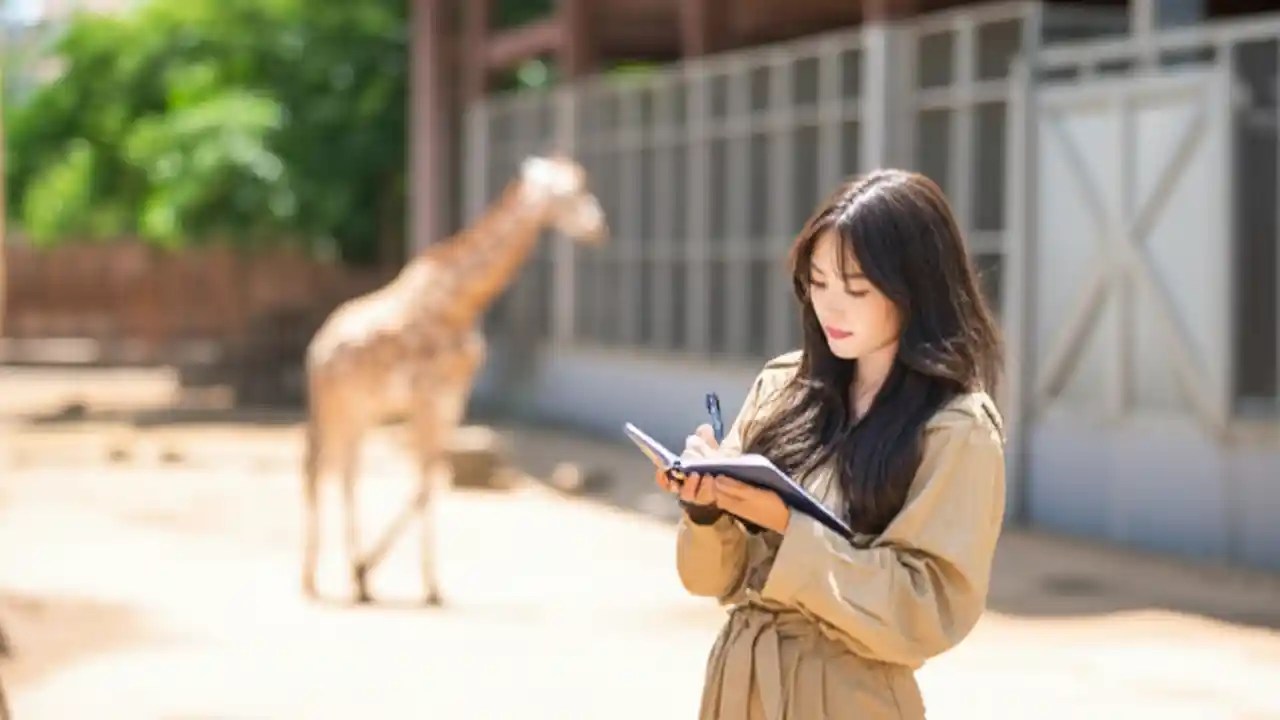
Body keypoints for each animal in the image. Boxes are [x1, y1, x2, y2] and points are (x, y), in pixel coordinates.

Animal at [301, 154, 607, 605]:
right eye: (571, 193)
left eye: (583, 186)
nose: (598, 228)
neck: (462, 302)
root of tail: (317, 350)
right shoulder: (431, 398)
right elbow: (426, 483)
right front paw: (419, 584)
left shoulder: (451, 401)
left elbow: (428, 482)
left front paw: (413, 581)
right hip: (345, 408)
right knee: (333, 472)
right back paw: (336, 577)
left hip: (359, 411)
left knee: (333, 471)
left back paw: (328, 577)